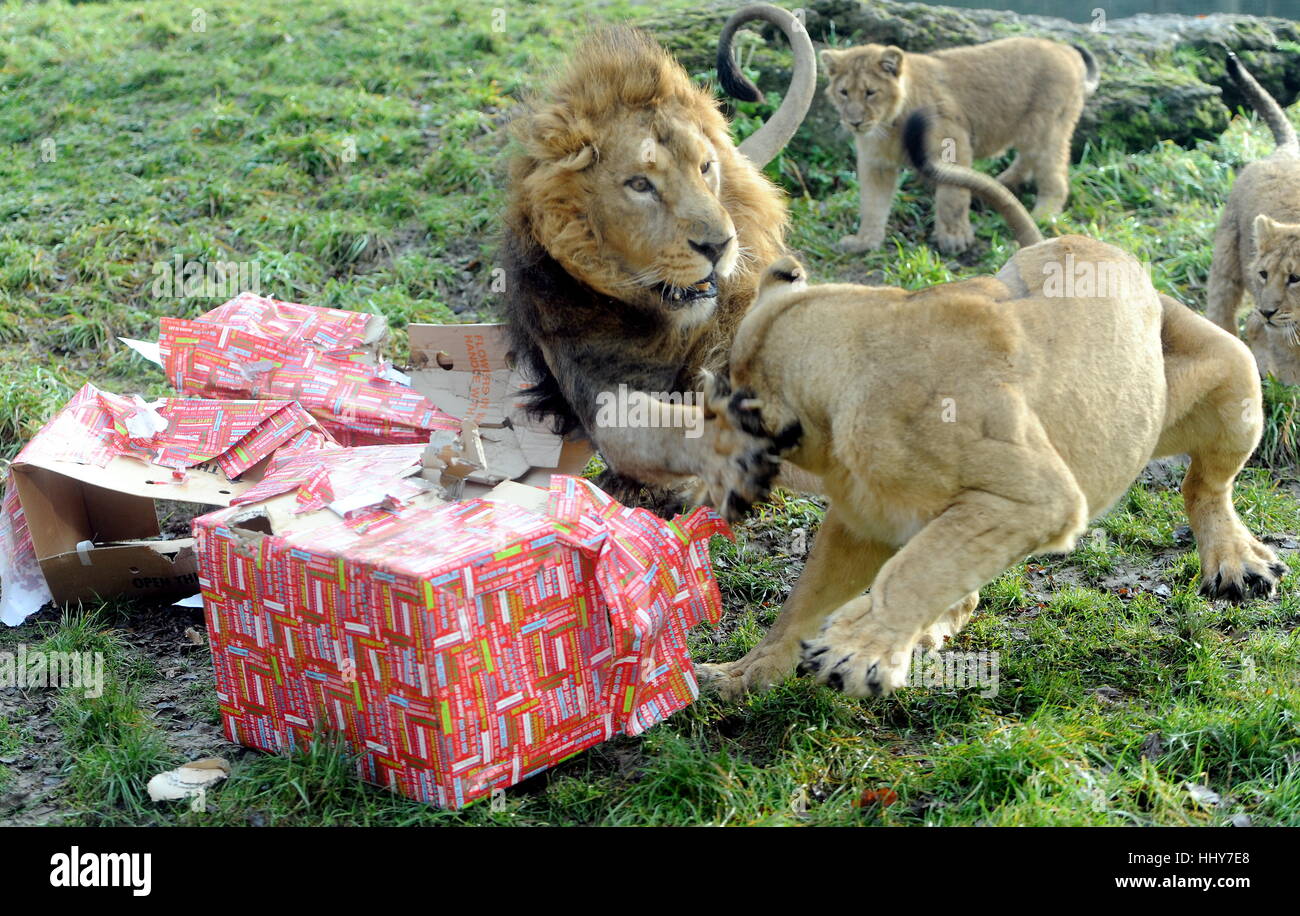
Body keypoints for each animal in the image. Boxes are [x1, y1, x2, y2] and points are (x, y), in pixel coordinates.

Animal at [500, 5, 817, 506]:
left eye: (705, 167)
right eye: (640, 184)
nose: (719, 245)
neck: (669, 320)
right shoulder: (598, 391)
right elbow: (672, 429)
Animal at [691, 110, 1283, 699]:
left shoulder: (1033, 498)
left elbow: (920, 568)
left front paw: (857, 650)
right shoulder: (864, 519)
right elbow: (804, 602)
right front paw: (745, 674)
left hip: (1235, 374)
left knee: (1206, 485)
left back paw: (1237, 562)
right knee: (970, 590)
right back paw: (929, 632)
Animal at [813, 37, 1098, 255]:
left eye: (870, 92)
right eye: (844, 92)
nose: (854, 122)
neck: (888, 125)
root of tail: (1066, 50)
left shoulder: (953, 144)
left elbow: (951, 198)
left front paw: (954, 239)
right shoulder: (876, 165)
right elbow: (872, 206)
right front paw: (864, 242)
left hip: (1046, 129)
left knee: (1054, 177)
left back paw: (1042, 215)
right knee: (1026, 160)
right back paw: (1001, 186)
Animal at [1206, 53, 1300, 384]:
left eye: (1295, 278)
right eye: (1263, 274)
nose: (1270, 311)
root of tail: (1287, 148)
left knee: (1253, 323)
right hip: (1226, 264)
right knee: (1227, 316)